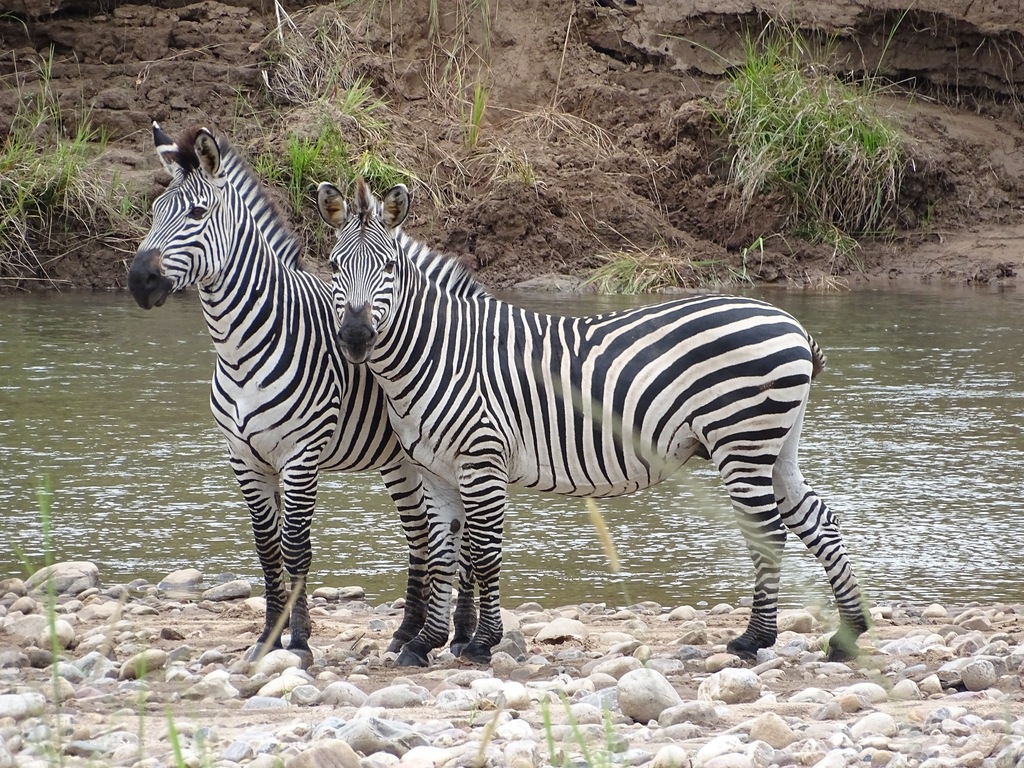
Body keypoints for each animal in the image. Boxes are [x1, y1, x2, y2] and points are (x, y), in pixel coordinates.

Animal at [127, 124, 477, 665]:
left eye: (197, 214)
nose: (139, 281)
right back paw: (407, 632)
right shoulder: (244, 458)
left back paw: (459, 635)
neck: (242, 348)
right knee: (422, 538)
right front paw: (267, 638)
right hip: (402, 461)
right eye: (154, 212)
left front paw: (299, 641)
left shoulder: (300, 456)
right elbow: (266, 549)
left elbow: (295, 548)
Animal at [316, 177, 871, 668]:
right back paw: (848, 635)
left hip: (743, 441)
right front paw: (423, 643)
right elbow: (442, 556)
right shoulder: (437, 471)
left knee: (768, 533)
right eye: (334, 265)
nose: (356, 336)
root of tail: (790, 322)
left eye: (390, 267)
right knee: (819, 520)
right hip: (776, 445)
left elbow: (485, 552)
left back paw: (754, 640)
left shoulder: (482, 458)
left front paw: (480, 643)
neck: (440, 351)